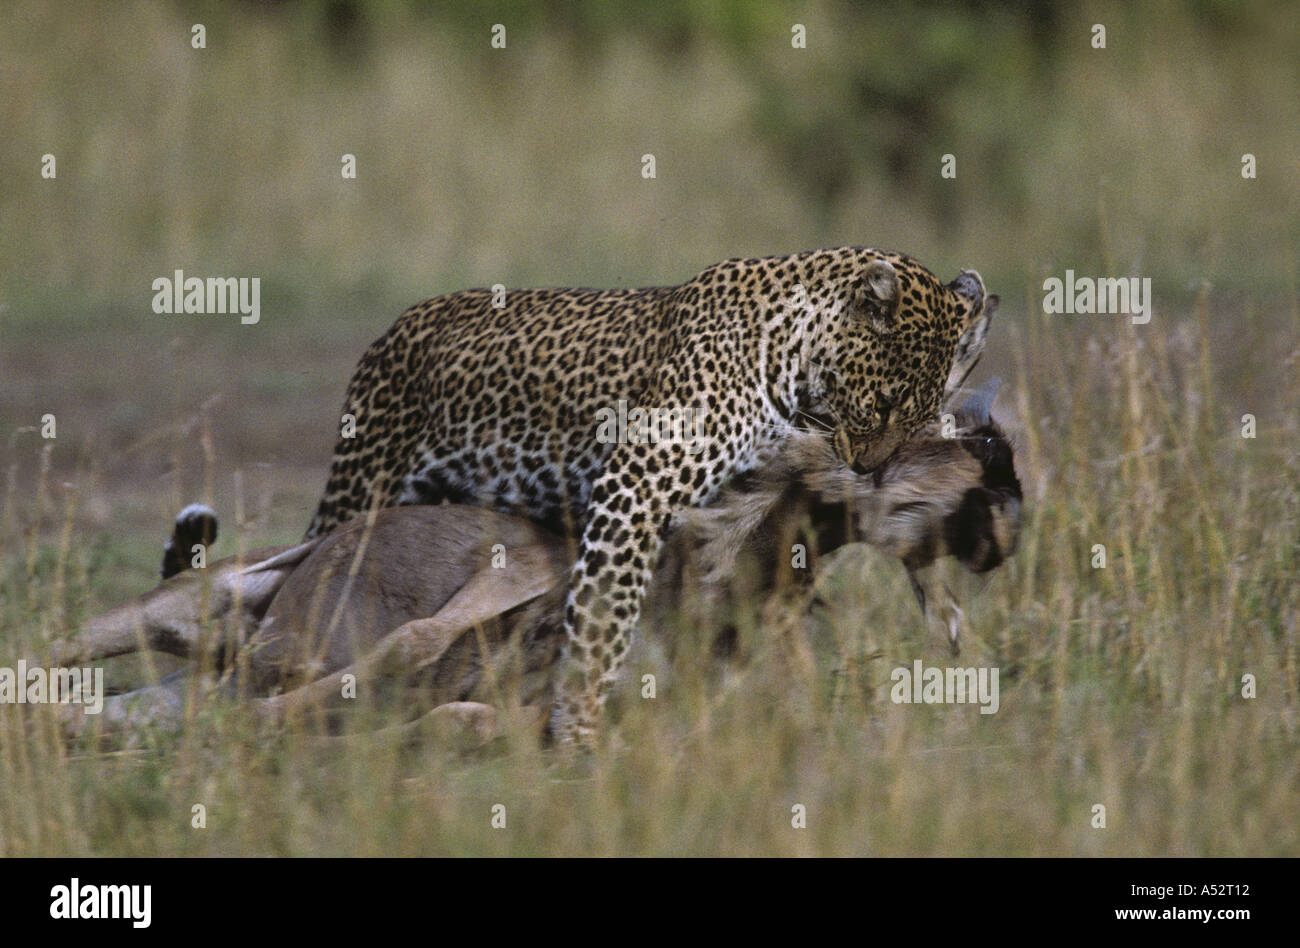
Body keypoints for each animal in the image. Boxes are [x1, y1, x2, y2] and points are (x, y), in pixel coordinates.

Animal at [304, 247, 997, 744]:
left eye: (920, 418)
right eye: (882, 404)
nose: (869, 468)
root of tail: (395, 327)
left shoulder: (765, 495)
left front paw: (949, 624)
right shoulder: (634, 489)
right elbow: (603, 619)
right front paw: (578, 732)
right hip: (365, 483)